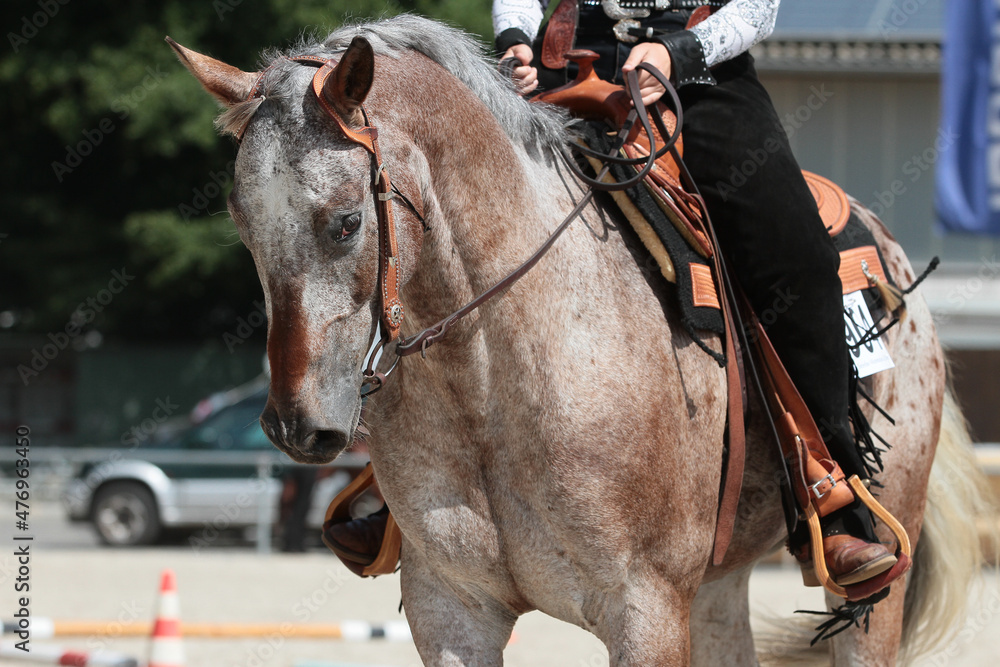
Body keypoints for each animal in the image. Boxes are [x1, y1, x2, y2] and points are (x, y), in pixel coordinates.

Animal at [168, 15, 991, 665]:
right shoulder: (451, 612)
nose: (295, 425)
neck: (491, 383)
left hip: (876, 572)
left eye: (344, 222)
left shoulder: (645, 613)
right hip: (718, 584)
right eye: (243, 224)